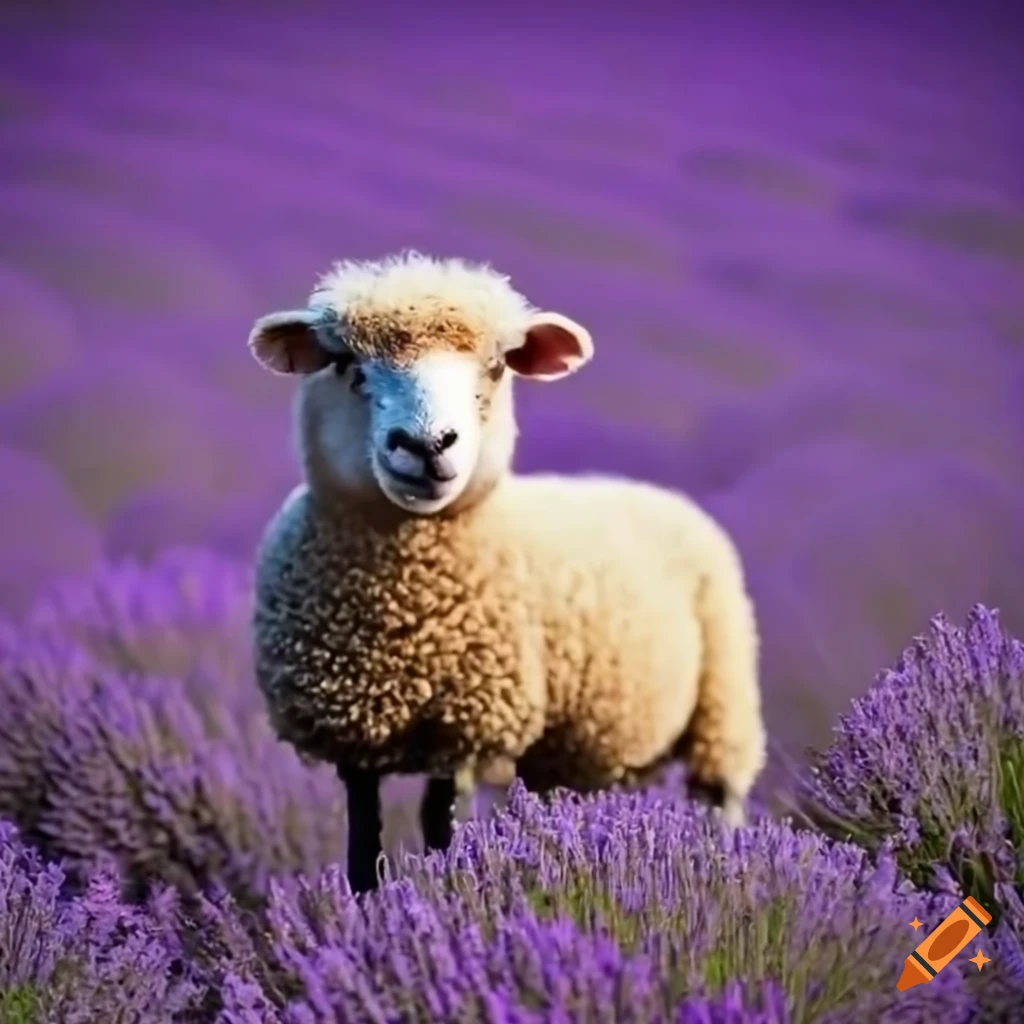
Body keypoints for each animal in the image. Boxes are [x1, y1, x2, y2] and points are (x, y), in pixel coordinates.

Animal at [248, 251, 767, 894]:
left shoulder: (466, 726)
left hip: (724, 708)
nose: (426, 445)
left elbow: (438, 822)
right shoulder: (353, 732)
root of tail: (650, 491)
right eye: (346, 364)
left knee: (719, 799)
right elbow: (363, 842)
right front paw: (369, 905)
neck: (403, 614)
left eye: (494, 367)